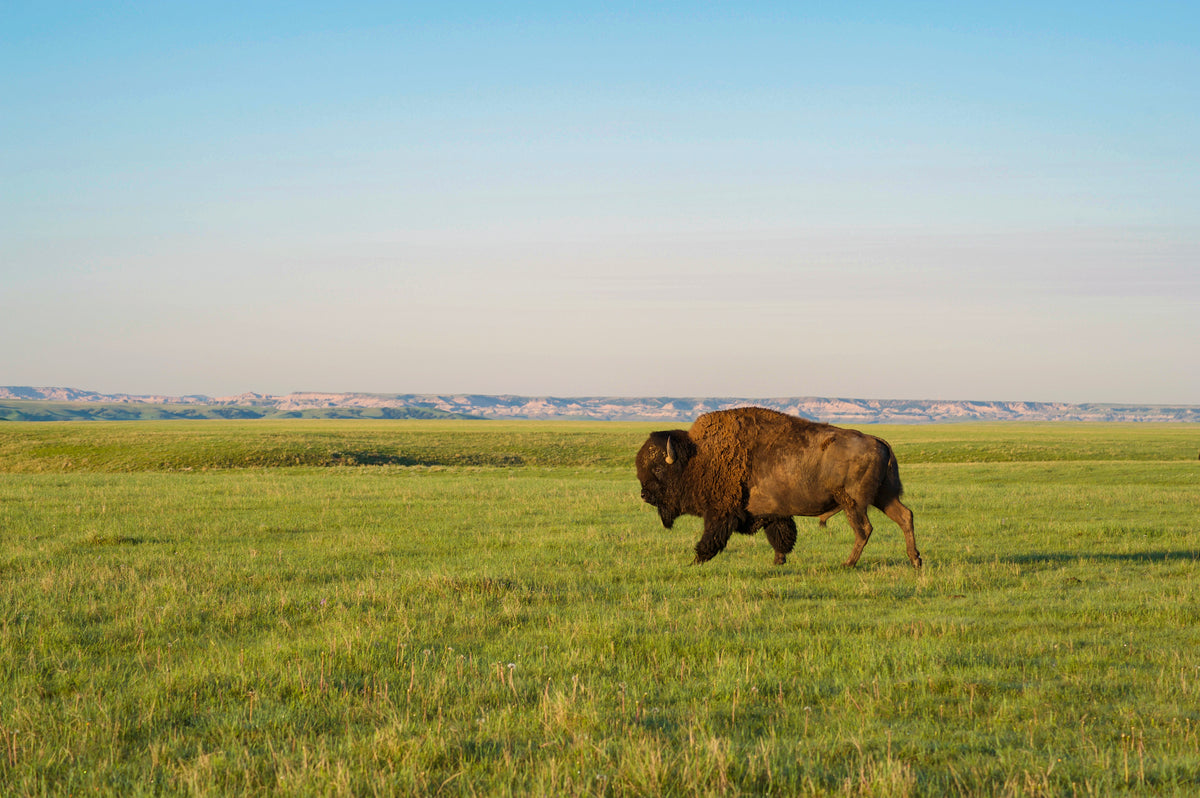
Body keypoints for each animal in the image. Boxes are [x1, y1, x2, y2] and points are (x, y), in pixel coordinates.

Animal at [636, 407, 922, 568]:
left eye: (658, 469)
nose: (644, 494)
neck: (699, 457)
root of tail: (878, 441)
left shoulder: (720, 513)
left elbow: (711, 539)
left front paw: (694, 561)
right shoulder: (773, 512)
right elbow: (781, 536)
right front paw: (779, 561)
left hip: (854, 502)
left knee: (864, 529)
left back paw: (847, 564)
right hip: (883, 496)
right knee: (905, 516)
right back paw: (915, 560)